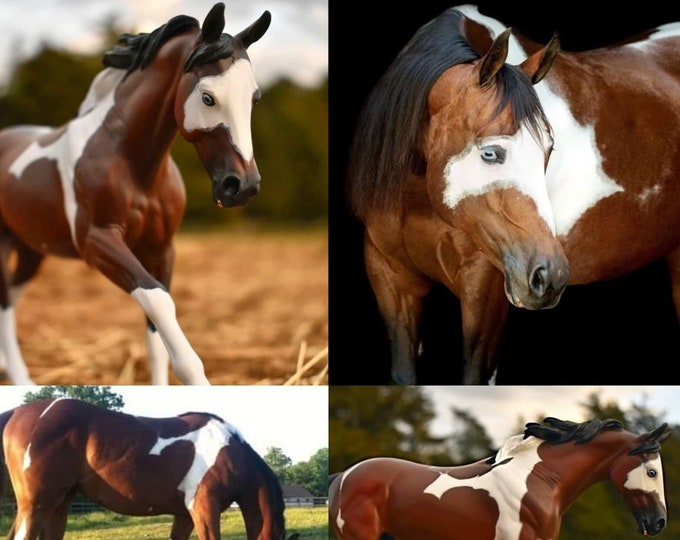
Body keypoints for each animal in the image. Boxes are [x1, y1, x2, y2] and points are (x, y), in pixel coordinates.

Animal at [0, 2, 271, 385]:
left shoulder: (159, 249)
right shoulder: (97, 242)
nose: (243, 186)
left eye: (254, 98)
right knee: (5, 304)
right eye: (208, 97)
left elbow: (156, 336)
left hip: (30, 250)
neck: (131, 163)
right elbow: (159, 302)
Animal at [0, 397, 300, 540]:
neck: (228, 451)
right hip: (36, 504)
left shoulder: (185, 515)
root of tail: (19, 412)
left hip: (58, 504)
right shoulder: (204, 508)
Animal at [343, 4, 680, 385]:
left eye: (549, 149)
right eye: (491, 153)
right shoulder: (392, 279)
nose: (550, 276)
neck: (417, 200)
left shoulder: (486, 293)